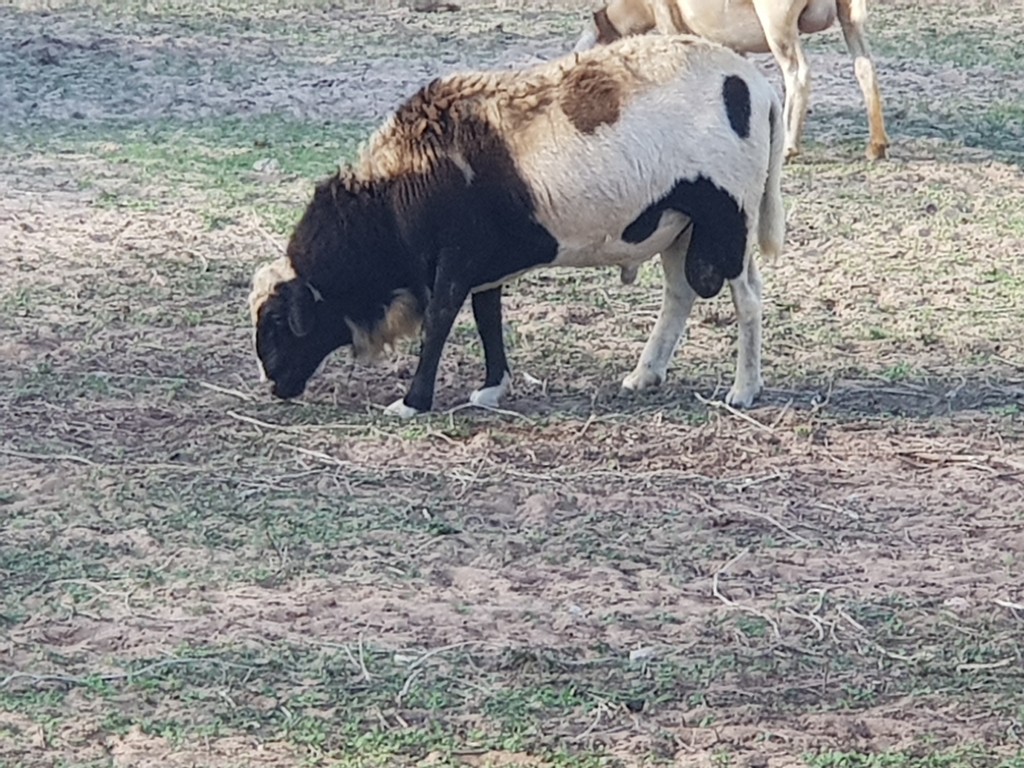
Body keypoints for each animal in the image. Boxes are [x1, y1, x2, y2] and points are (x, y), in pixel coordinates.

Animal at [248, 34, 785, 417]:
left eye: (276, 322)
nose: (273, 384)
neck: (394, 194)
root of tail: (757, 87)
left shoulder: (455, 256)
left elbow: (440, 321)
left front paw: (412, 402)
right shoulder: (480, 260)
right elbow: (488, 315)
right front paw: (493, 388)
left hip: (729, 214)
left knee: (747, 300)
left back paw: (744, 390)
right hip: (680, 226)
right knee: (680, 293)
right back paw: (645, 375)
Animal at [574, 0, 890, 161]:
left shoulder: (671, 26)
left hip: (777, 25)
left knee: (797, 73)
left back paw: (789, 146)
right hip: (848, 18)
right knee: (865, 67)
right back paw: (876, 146)